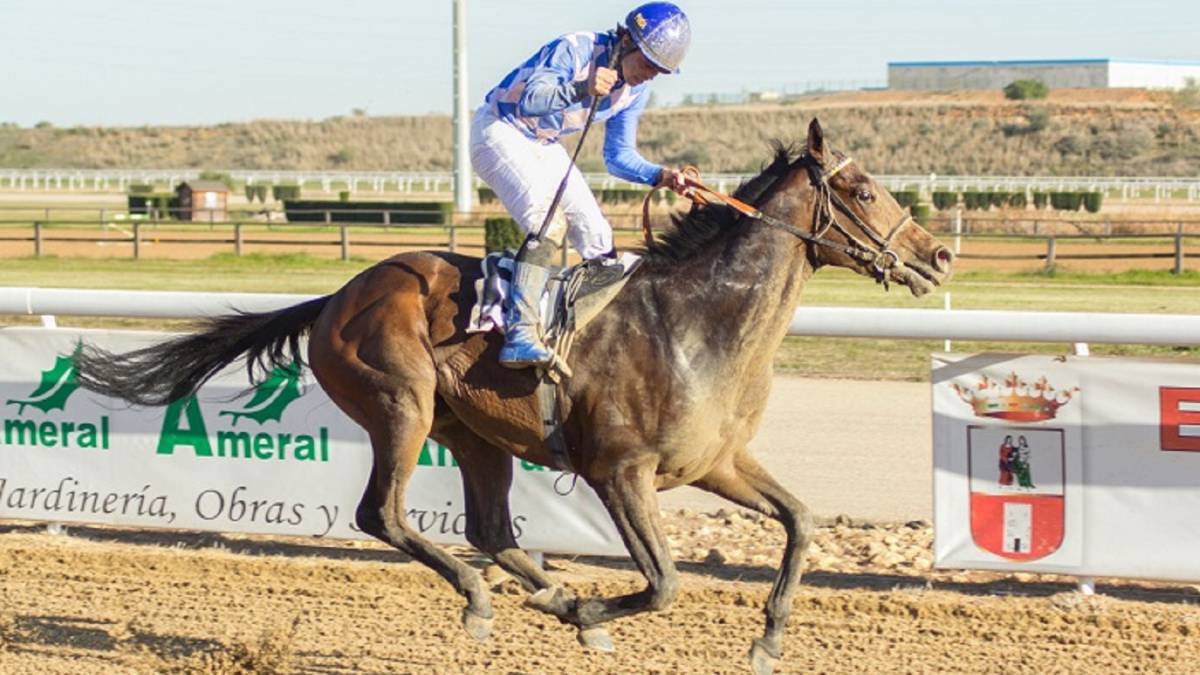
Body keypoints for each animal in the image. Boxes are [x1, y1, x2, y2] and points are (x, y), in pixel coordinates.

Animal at [75, 119, 952, 675]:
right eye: (863, 190)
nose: (939, 254)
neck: (695, 321)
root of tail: (335, 297)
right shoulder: (619, 472)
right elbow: (666, 581)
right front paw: (597, 616)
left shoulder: (717, 460)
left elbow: (801, 520)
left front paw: (766, 640)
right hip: (402, 404)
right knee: (384, 515)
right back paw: (491, 599)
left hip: (474, 434)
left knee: (490, 529)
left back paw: (552, 593)